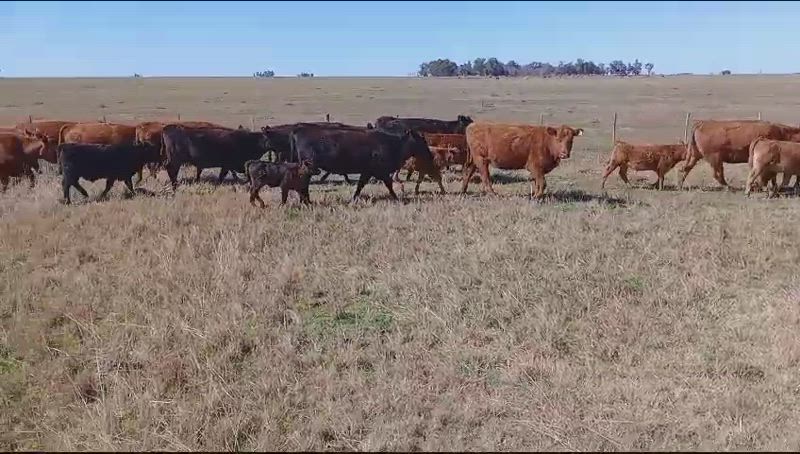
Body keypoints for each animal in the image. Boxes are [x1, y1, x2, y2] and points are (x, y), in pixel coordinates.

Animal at [289, 126, 440, 201]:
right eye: (422, 140)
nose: (430, 155)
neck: (394, 144)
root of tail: (299, 130)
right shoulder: (380, 171)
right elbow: (389, 184)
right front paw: (397, 198)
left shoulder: (367, 171)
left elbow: (360, 186)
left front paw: (353, 199)